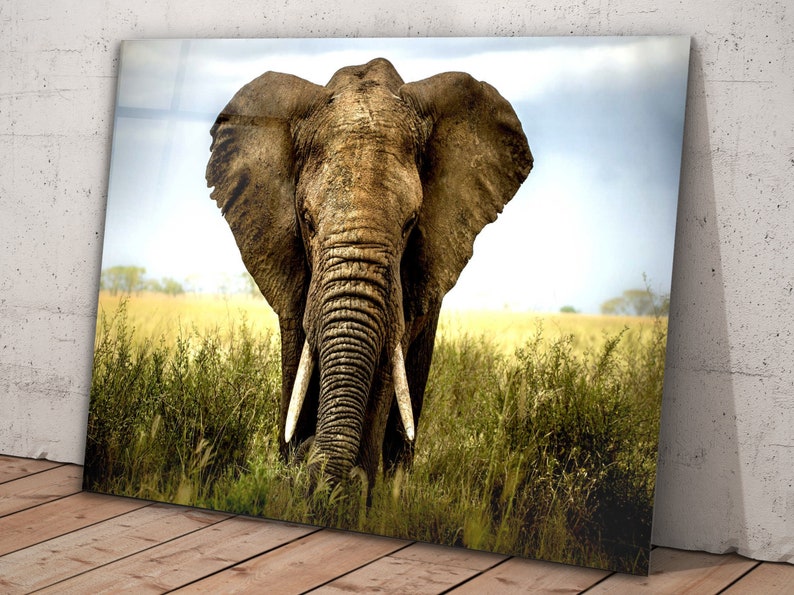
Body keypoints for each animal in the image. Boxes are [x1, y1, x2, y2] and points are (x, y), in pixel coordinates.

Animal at [206, 57, 532, 491]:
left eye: (410, 223)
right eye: (307, 220)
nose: (308, 453)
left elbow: (385, 367)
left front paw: (349, 490)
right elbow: (297, 357)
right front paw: (294, 475)